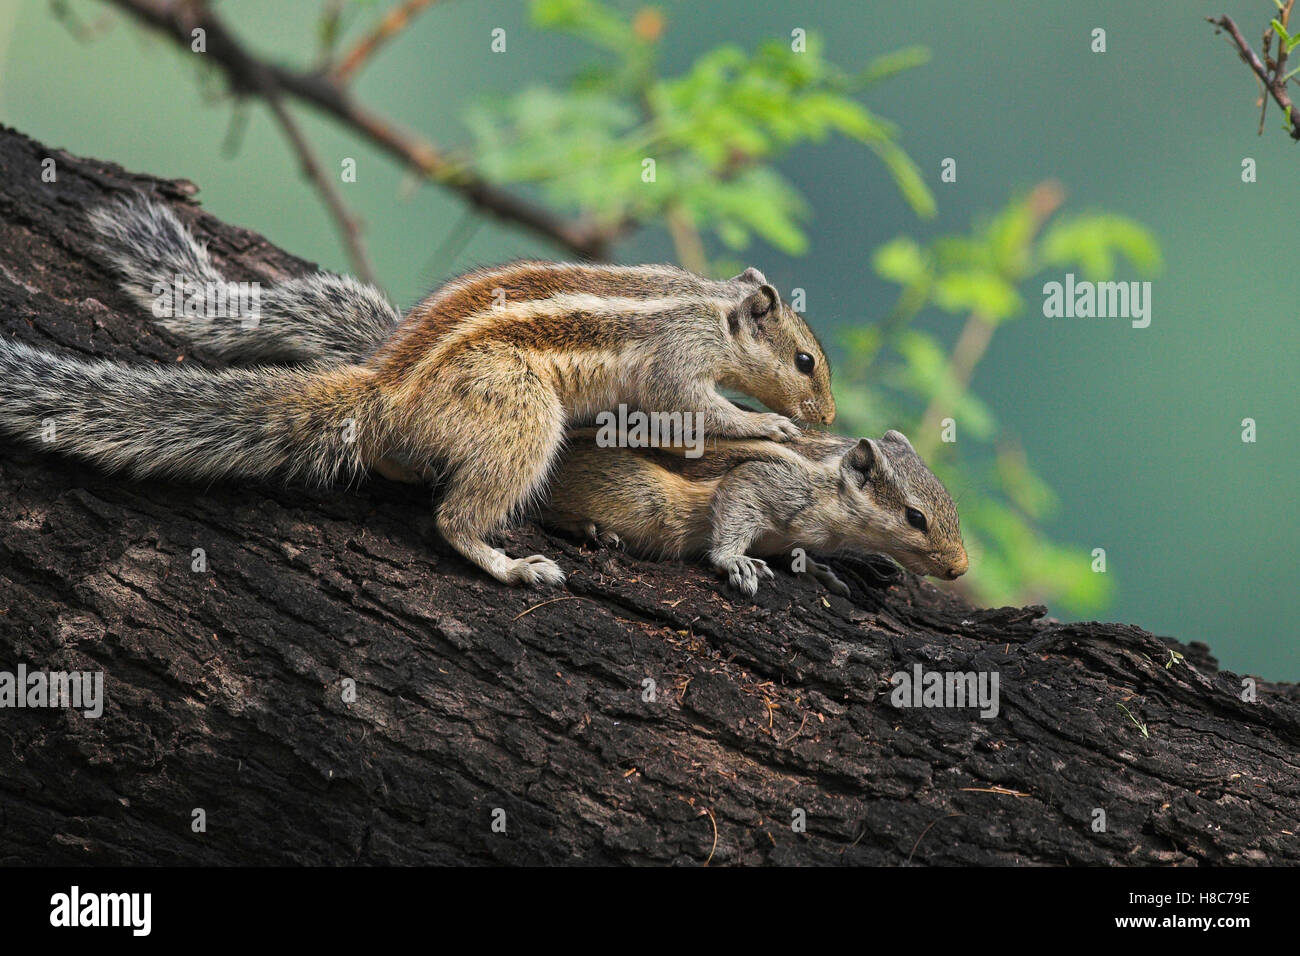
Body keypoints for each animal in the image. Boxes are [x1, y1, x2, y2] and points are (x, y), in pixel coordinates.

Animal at [87, 199, 968, 597]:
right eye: (805, 360)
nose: (827, 417)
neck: (708, 307)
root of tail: (388, 389)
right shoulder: (676, 368)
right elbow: (702, 418)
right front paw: (770, 425)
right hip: (520, 415)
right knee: (451, 521)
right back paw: (513, 562)